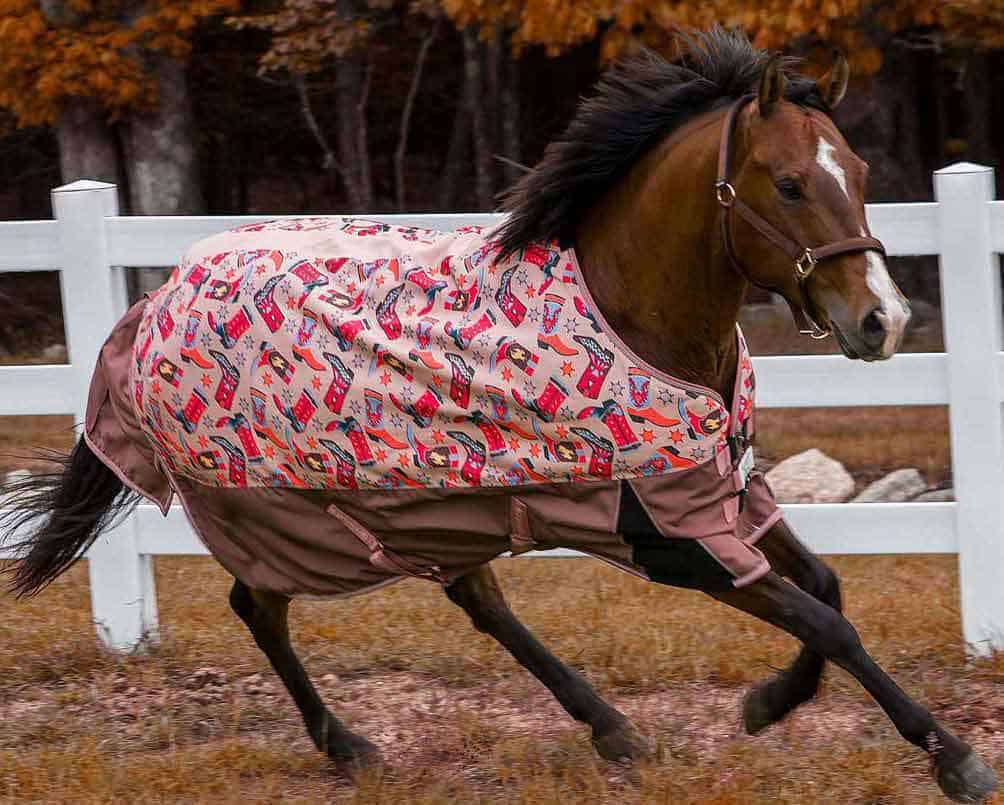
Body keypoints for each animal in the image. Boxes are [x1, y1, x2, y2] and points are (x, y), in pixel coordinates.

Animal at [0, 28, 997, 802]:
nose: (884, 319)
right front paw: (952, 756)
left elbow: (826, 588)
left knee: (476, 600)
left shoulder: (723, 494)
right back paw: (350, 745)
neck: (631, 315)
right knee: (260, 606)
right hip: (279, 508)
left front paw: (769, 702)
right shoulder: (666, 536)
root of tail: (155, 298)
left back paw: (610, 728)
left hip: (428, 506)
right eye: (789, 182)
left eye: (857, 170)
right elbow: (825, 618)